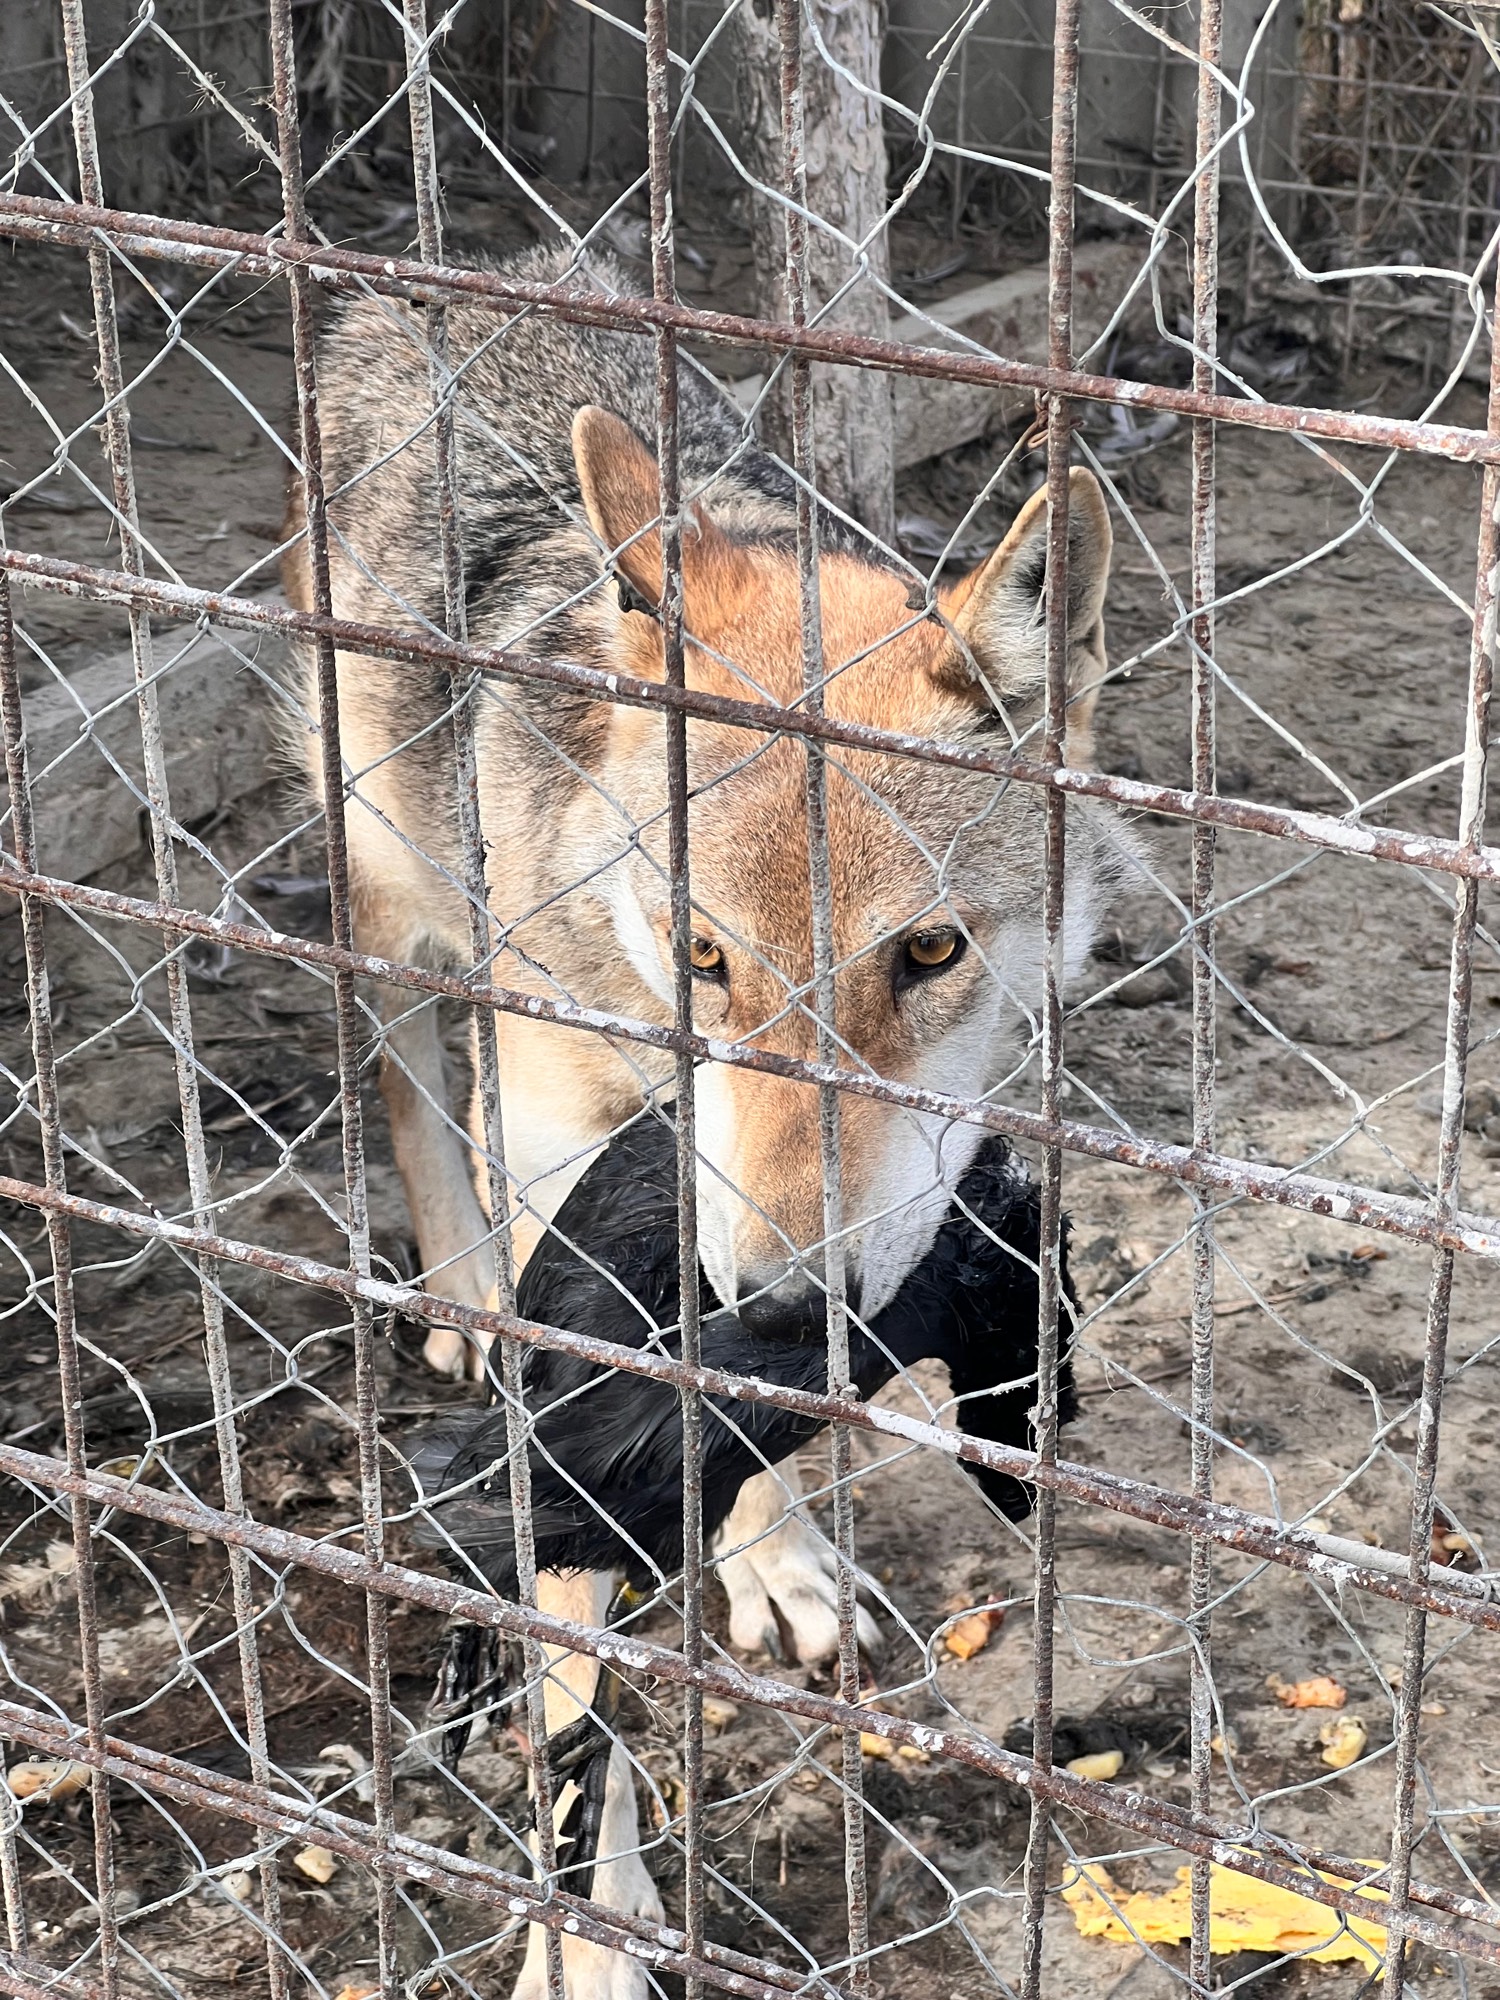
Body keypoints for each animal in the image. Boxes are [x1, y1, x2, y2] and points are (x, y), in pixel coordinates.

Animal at [288, 242, 1120, 1992]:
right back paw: (458, 1286)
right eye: (705, 957)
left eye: (926, 953)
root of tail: (484, 275)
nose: (791, 1299)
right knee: (409, 1070)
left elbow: (749, 1427)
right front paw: (590, 1935)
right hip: (392, 889)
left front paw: (778, 1556)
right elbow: (572, 1654)